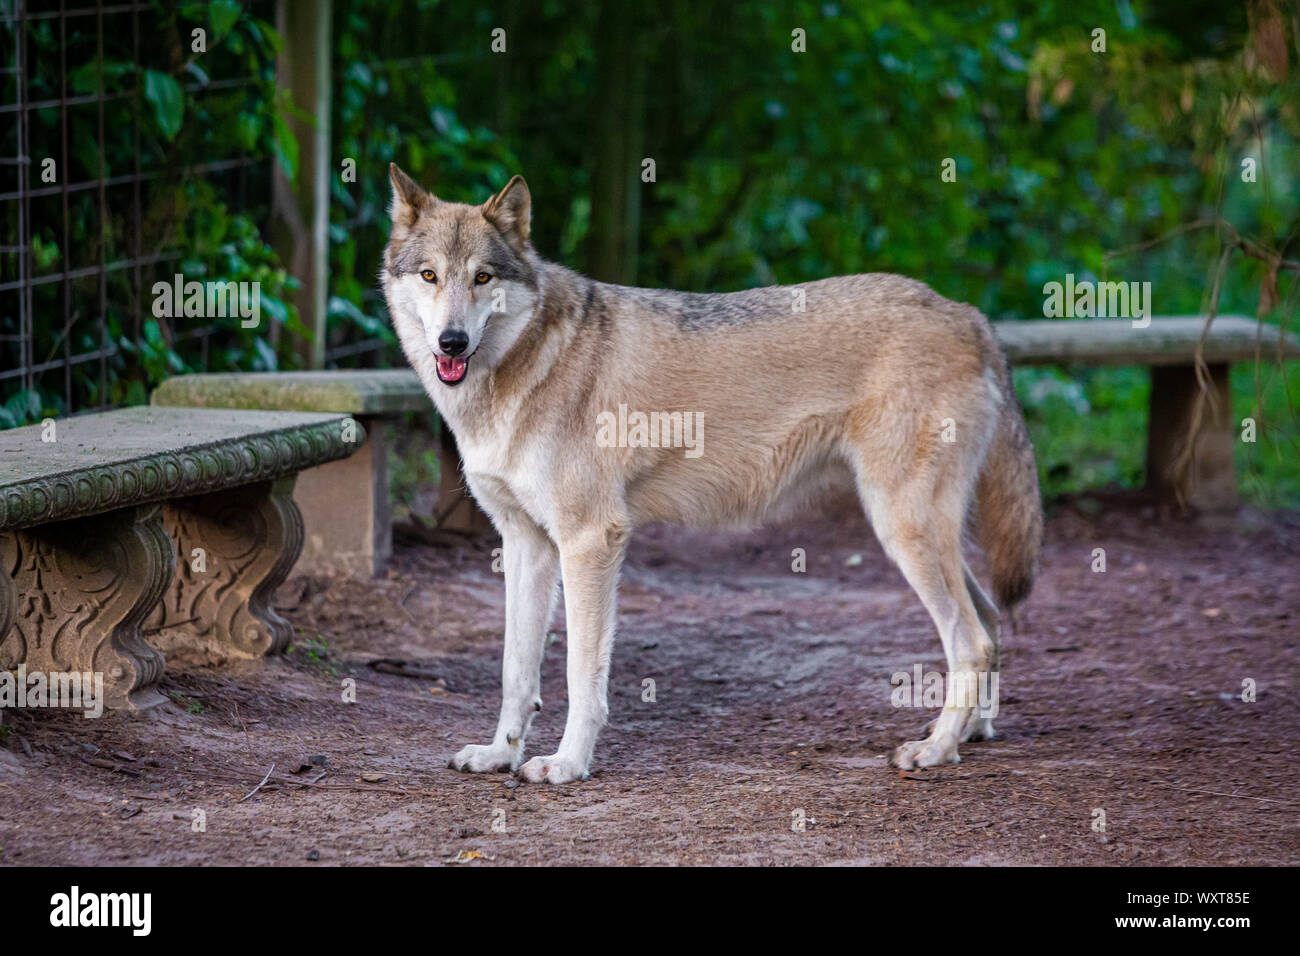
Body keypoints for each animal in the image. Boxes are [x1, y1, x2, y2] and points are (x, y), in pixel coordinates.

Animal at [382, 164, 1042, 783]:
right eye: (430, 276)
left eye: (482, 278)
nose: (452, 341)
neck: (525, 367)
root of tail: (970, 316)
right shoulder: (525, 545)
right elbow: (515, 672)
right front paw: (500, 754)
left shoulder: (590, 540)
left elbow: (579, 676)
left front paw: (567, 764)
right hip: (923, 535)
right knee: (990, 620)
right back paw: (971, 733)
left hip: (902, 529)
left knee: (974, 640)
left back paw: (935, 749)